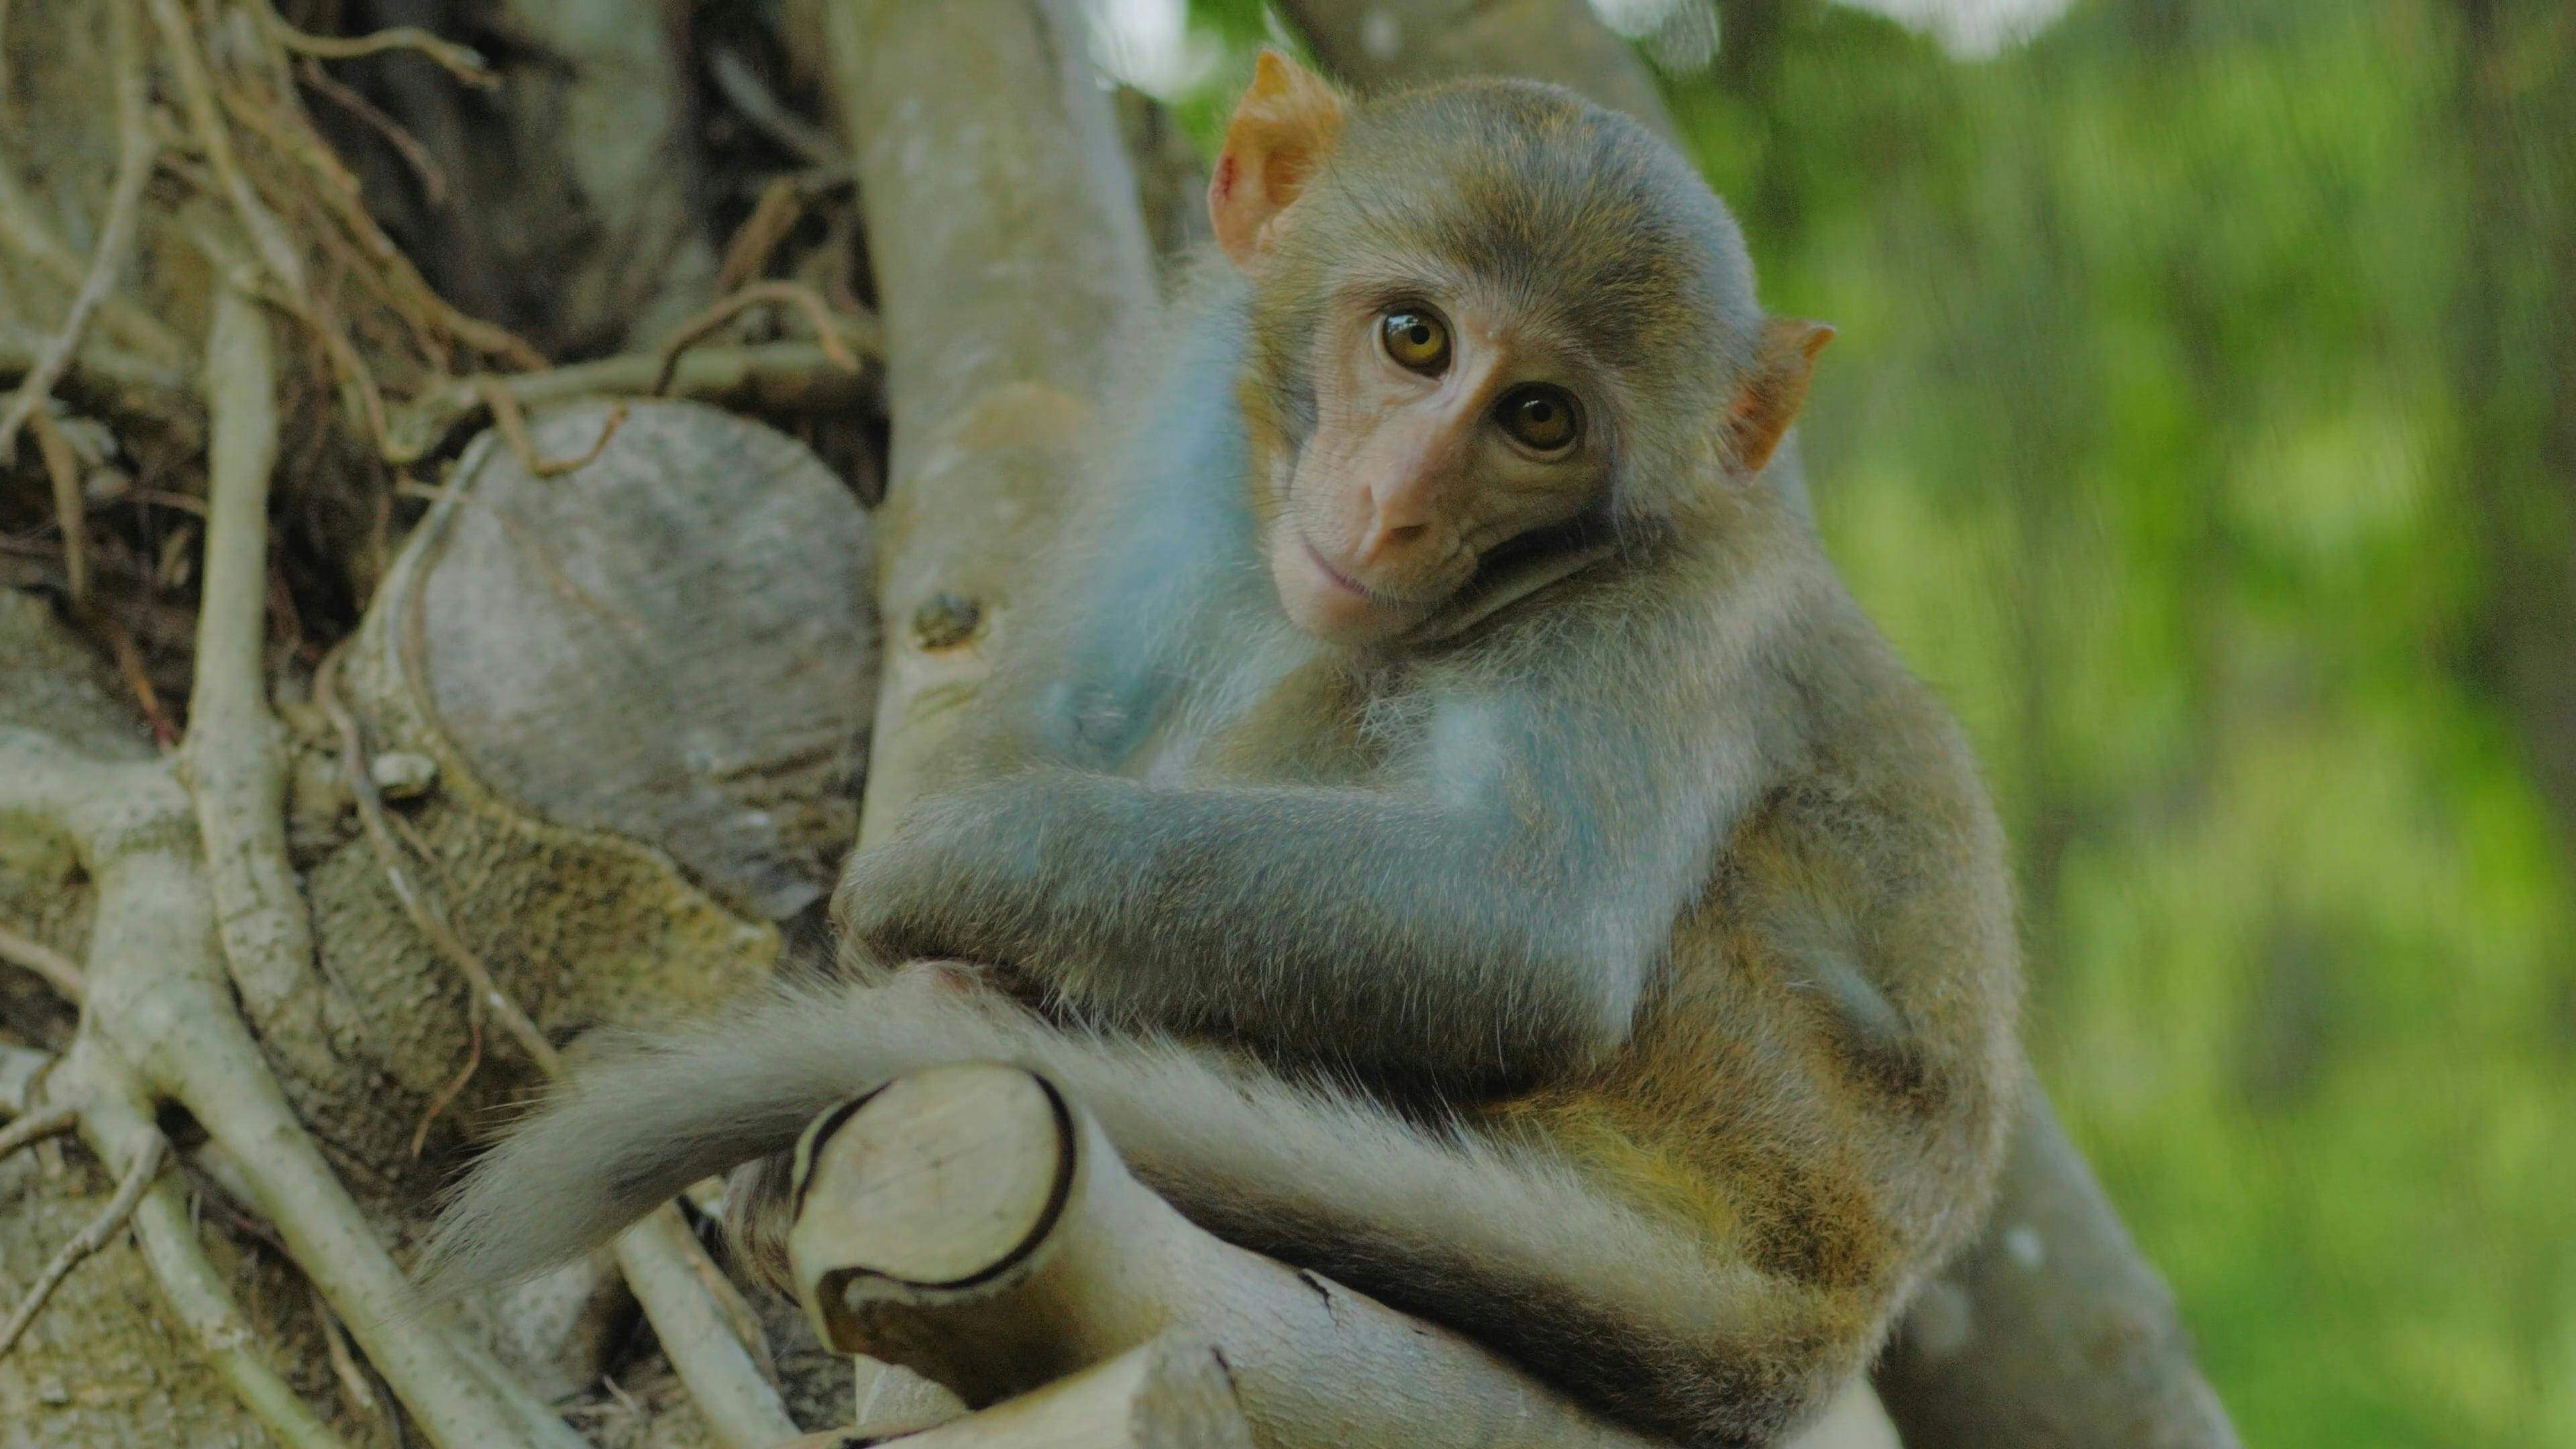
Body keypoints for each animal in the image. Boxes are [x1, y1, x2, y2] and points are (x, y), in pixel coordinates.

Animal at [427, 52, 2022, 1449]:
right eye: (1415, 339)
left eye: (1541, 420)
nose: (1391, 507)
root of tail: (1853, 1283)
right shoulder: (1211, 389)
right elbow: (1076, 695)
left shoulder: (1685, 603)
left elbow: (1521, 932)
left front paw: (920, 890)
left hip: (1743, 1082)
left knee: (1371, 693)